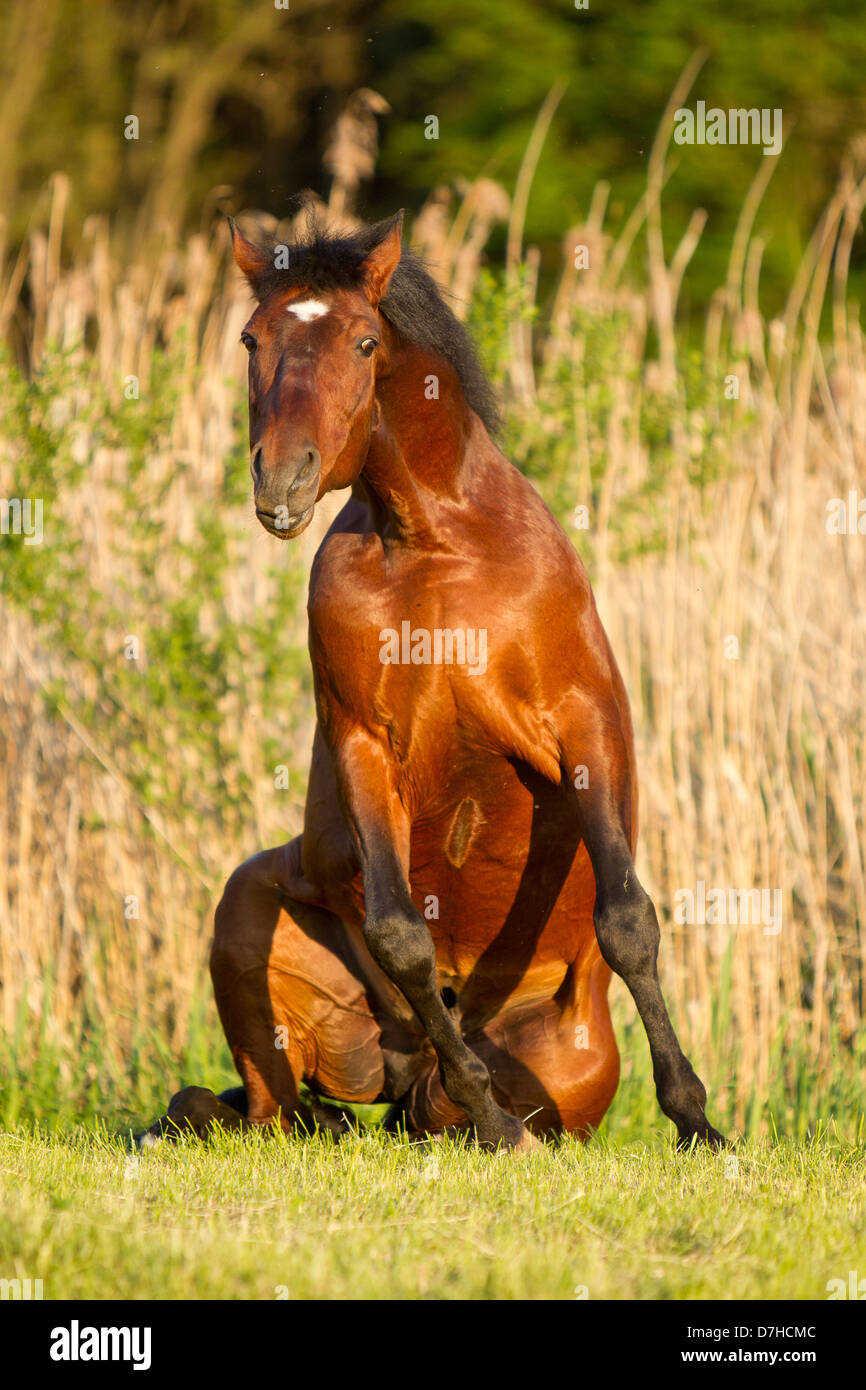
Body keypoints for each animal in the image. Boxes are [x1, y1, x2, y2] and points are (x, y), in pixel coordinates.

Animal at [141, 210, 725, 1153]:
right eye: (251, 338)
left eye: (365, 340)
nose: (282, 480)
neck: (435, 545)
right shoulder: (363, 745)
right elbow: (400, 934)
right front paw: (493, 1119)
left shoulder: (584, 724)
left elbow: (629, 920)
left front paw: (696, 1119)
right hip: (245, 916)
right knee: (275, 1114)